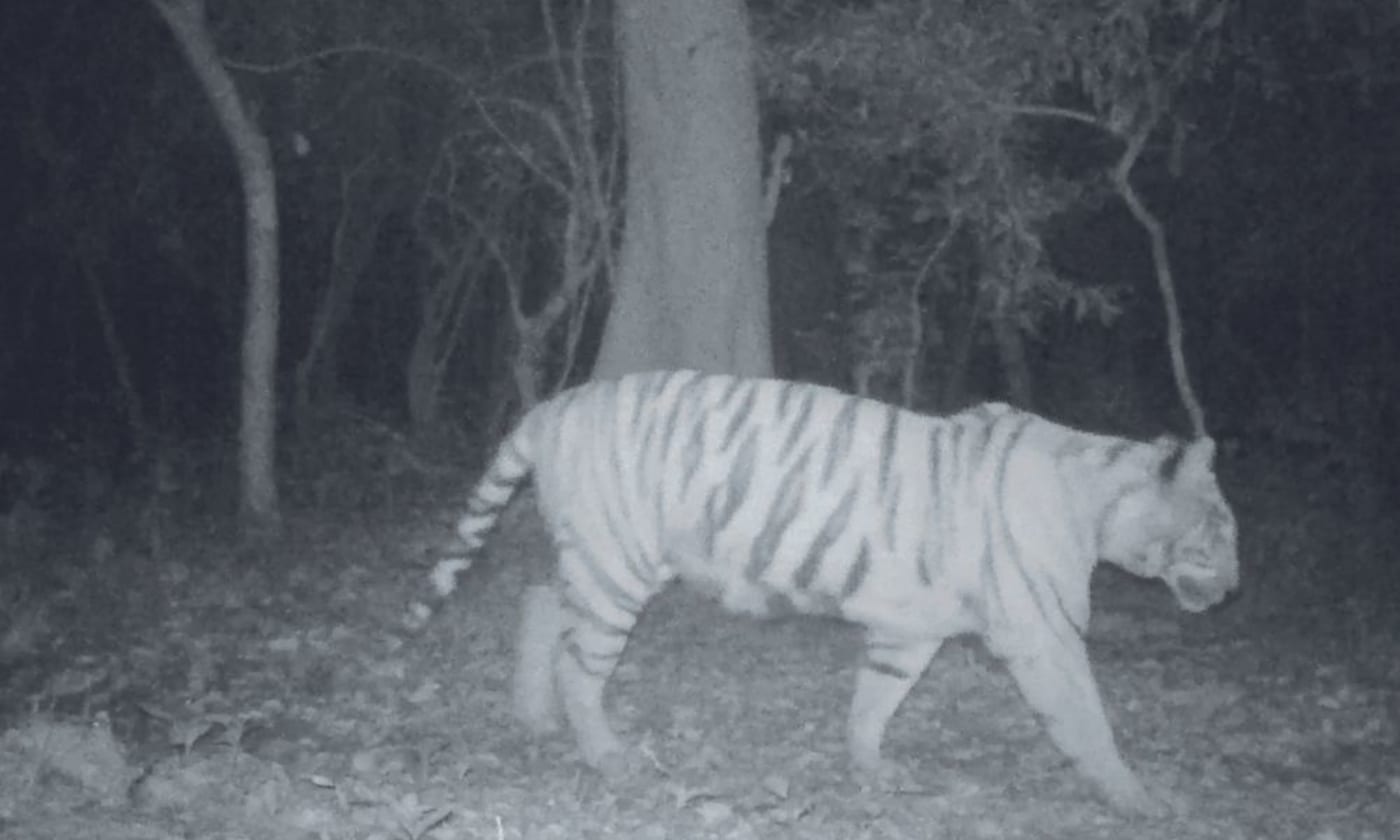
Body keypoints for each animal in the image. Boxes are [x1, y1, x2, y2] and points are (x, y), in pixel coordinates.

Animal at [409, 369, 1239, 815]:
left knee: (539, 602)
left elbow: (876, 698)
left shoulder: (911, 628)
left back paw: (533, 716)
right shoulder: (1045, 633)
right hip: (618, 566)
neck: (1098, 505)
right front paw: (1139, 799)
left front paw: (870, 769)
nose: (1234, 588)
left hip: (595, 558)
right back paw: (607, 754)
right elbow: (1088, 720)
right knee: (579, 662)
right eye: (1221, 533)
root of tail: (555, 403)